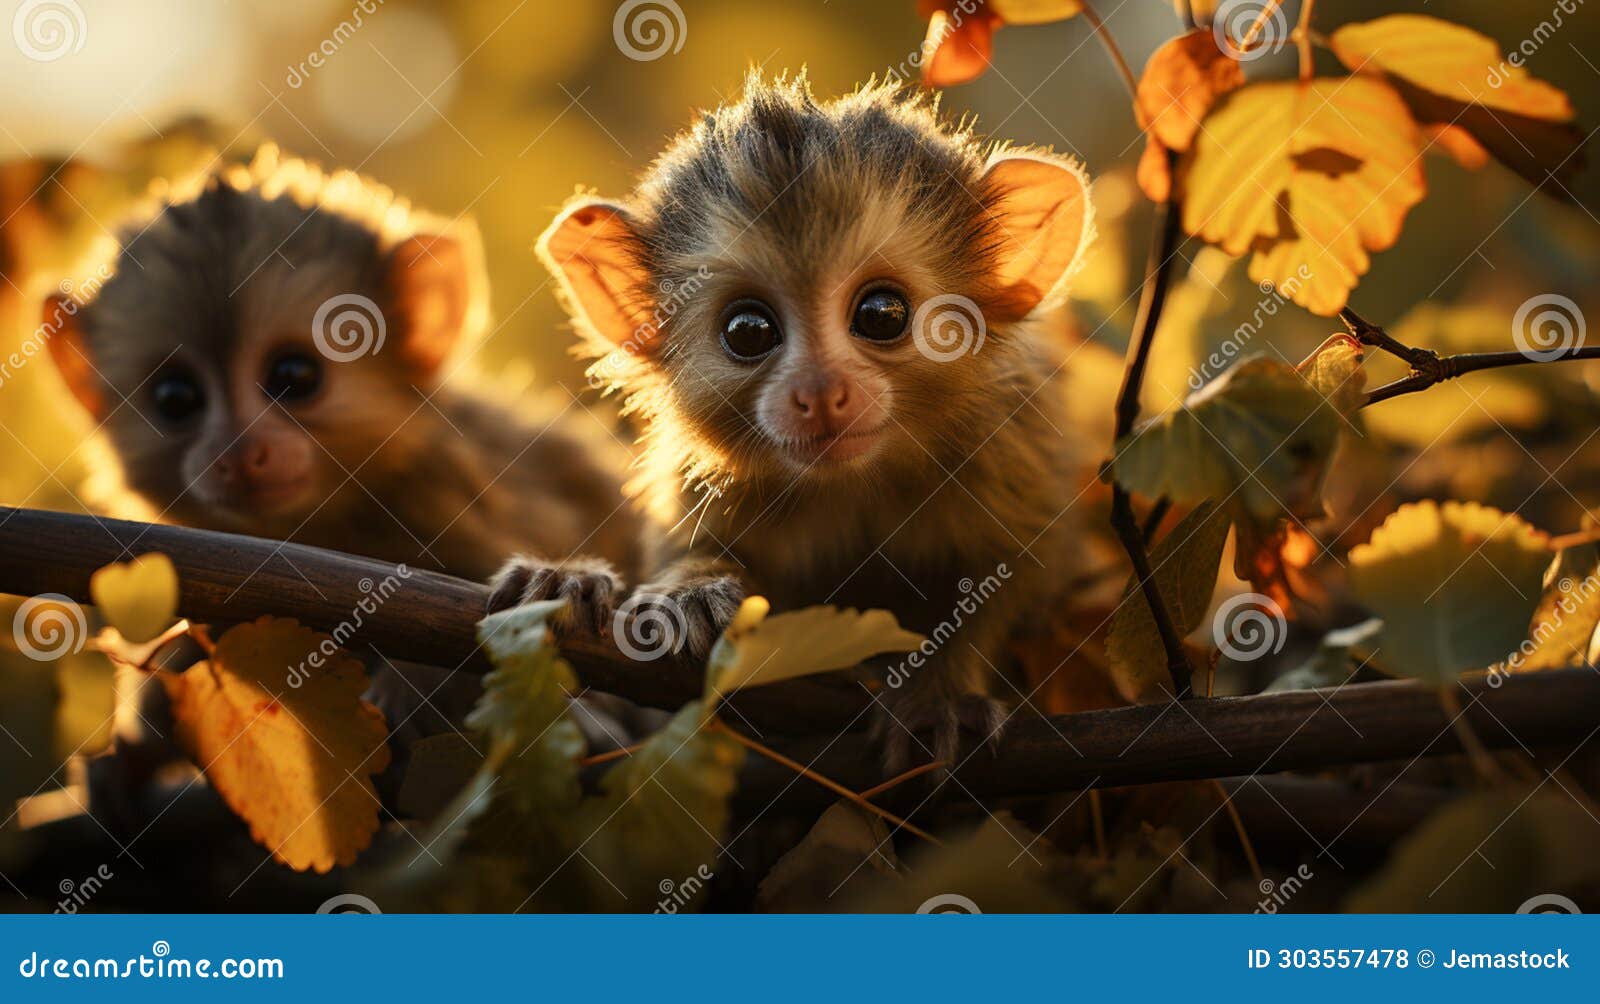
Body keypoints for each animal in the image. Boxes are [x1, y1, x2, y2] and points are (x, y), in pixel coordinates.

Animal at [506, 72, 1097, 769]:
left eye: (881, 314)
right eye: (748, 331)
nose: (818, 393)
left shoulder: (1010, 445)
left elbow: (1023, 577)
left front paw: (941, 690)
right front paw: (692, 589)